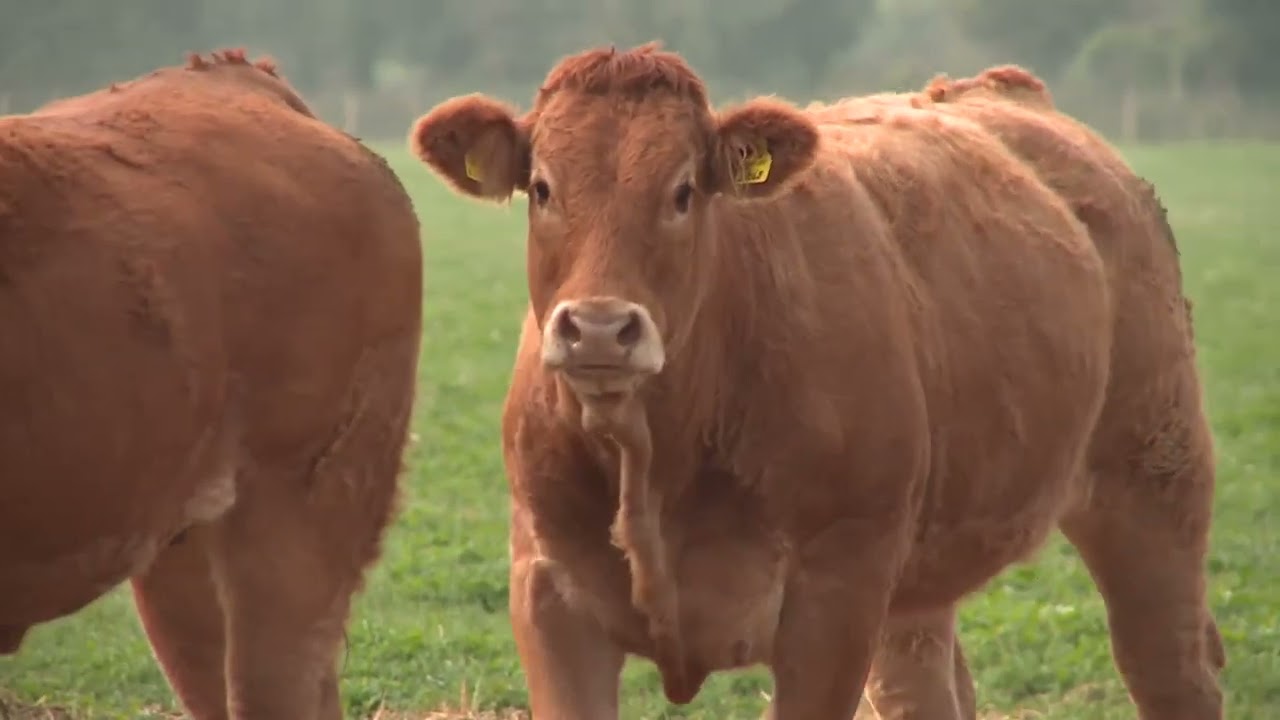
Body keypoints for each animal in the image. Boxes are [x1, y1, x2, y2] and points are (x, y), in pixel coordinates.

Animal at [408, 43, 1222, 720]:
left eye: (683, 190)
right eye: (543, 188)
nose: (602, 328)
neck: (656, 461)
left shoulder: (836, 601)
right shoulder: (549, 597)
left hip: (1154, 476)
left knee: (1171, 667)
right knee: (925, 687)